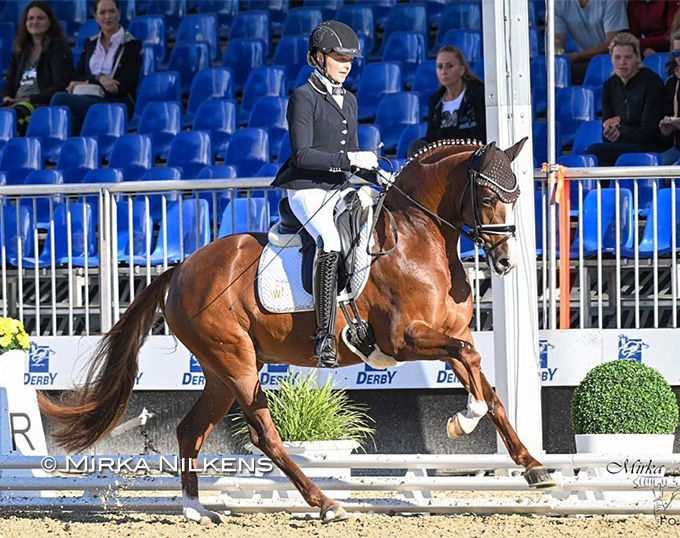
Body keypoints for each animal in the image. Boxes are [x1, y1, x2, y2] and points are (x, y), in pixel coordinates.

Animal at [38, 138, 555, 525]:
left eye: (515, 197)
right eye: (487, 197)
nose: (507, 262)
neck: (418, 240)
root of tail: (182, 267)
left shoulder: (441, 337)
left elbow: (486, 383)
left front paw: (534, 468)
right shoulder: (403, 340)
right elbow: (472, 360)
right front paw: (462, 420)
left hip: (221, 371)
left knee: (190, 430)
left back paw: (197, 509)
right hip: (236, 363)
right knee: (264, 435)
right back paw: (325, 504)